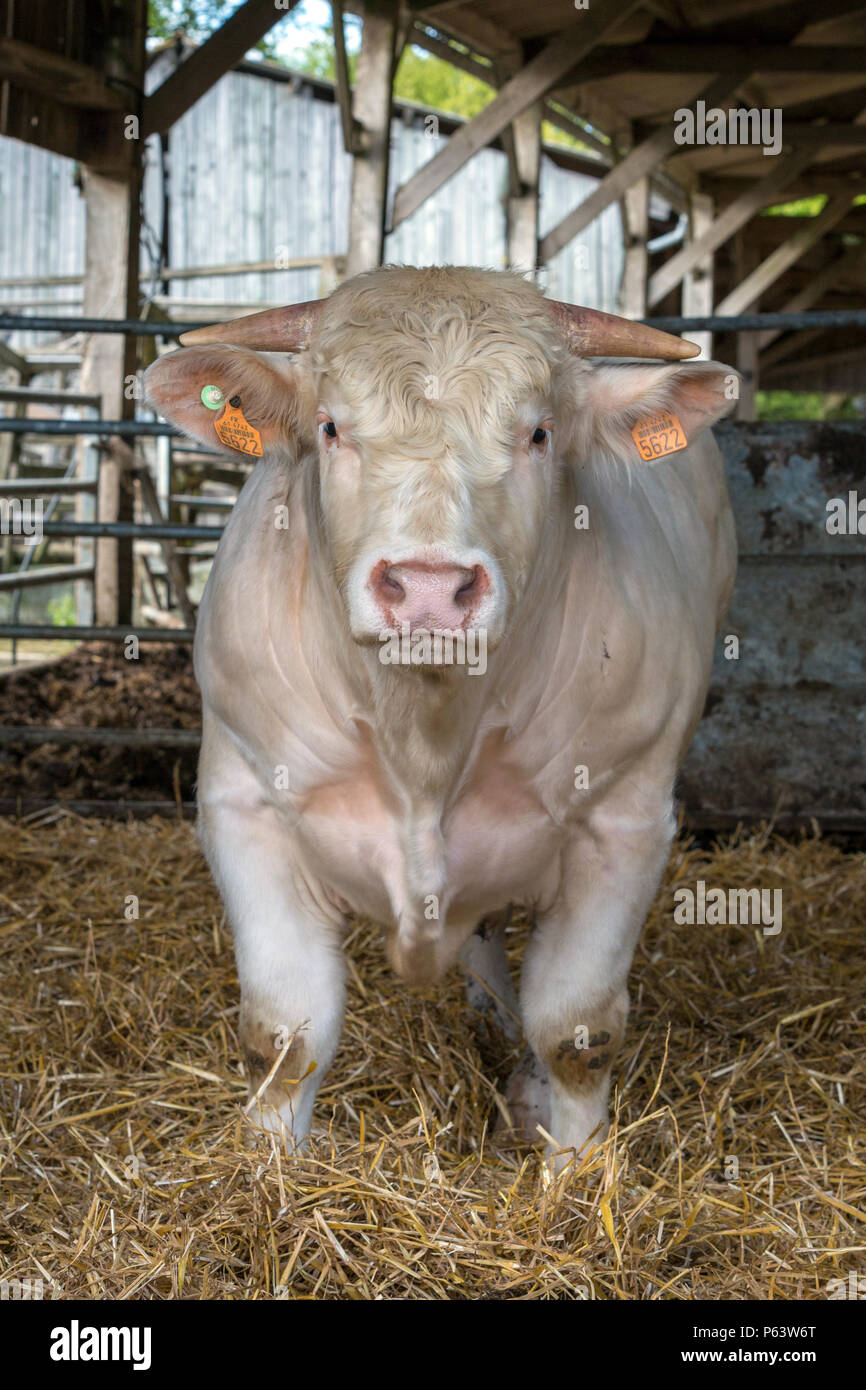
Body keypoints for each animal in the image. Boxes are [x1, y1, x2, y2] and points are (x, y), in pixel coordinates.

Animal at [145, 266, 737, 1165]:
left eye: (539, 433)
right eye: (331, 426)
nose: (428, 589)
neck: (423, 737)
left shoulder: (625, 819)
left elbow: (578, 1029)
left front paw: (571, 1174)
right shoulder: (244, 801)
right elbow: (283, 1030)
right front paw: (266, 1175)